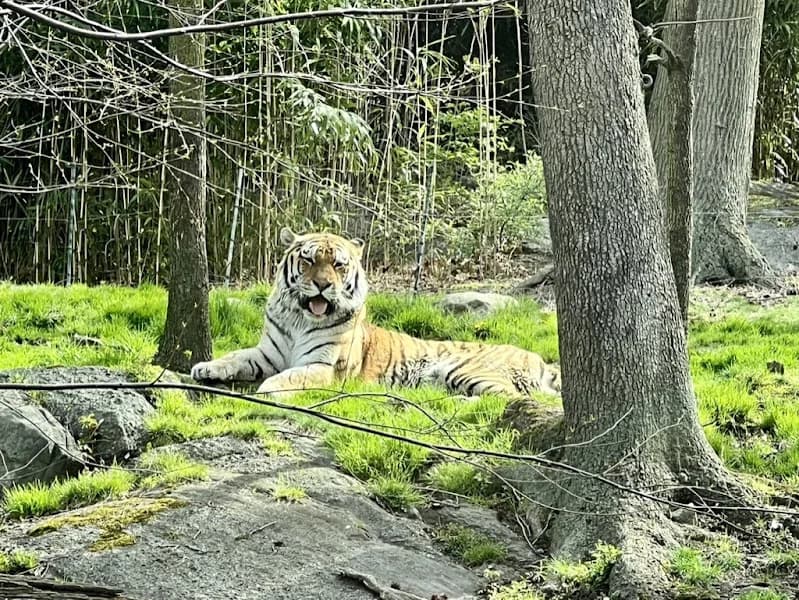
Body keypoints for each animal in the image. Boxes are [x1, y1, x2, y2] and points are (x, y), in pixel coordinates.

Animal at [190, 227, 561, 400]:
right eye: (309, 260)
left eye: (339, 265)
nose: (323, 285)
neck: (300, 319)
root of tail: (538, 358)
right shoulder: (267, 352)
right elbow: (236, 356)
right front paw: (205, 367)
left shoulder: (324, 367)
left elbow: (291, 376)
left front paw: (268, 390)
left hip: (467, 370)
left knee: (507, 399)